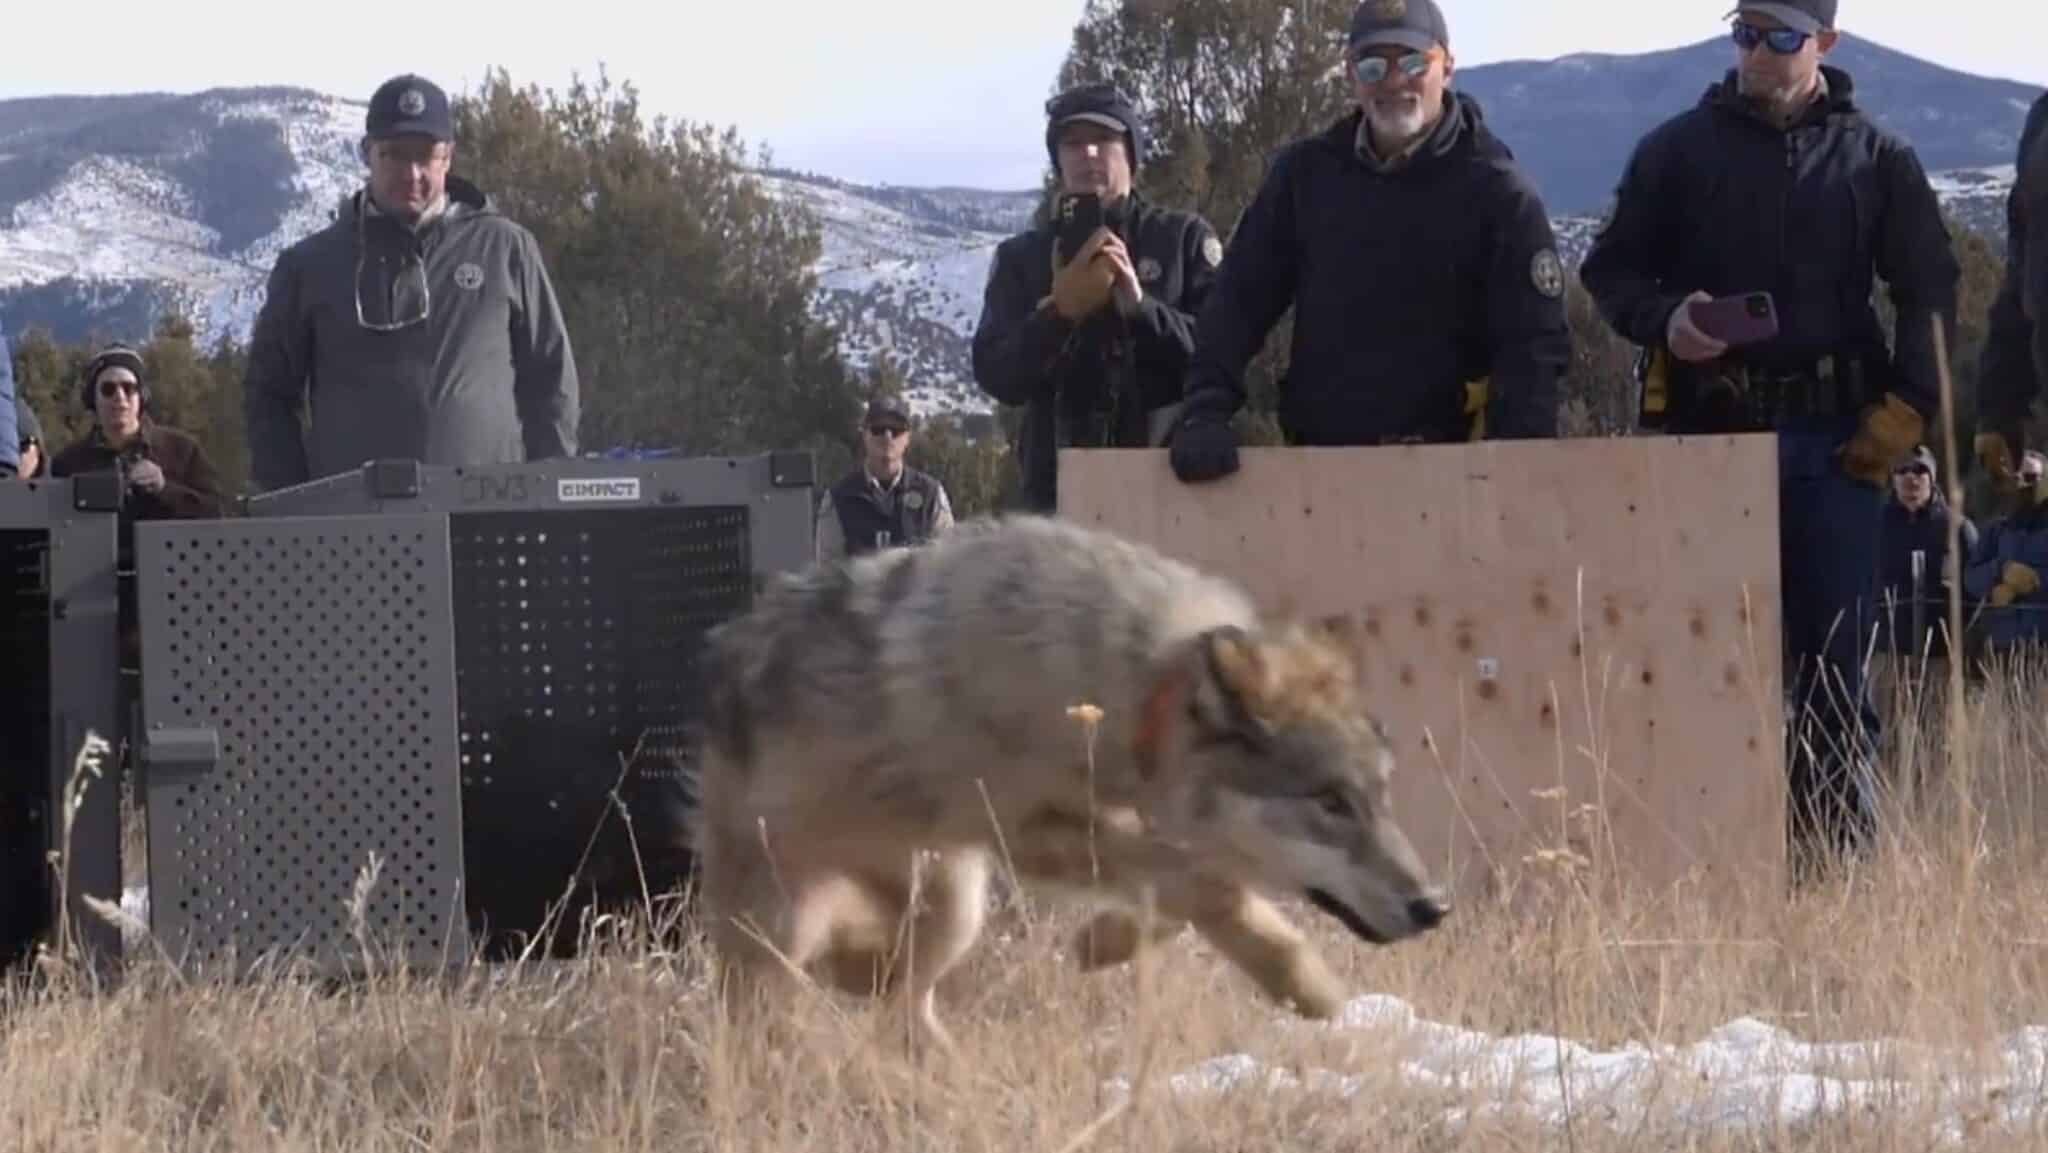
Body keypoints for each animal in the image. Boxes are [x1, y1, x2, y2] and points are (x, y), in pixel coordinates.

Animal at [688, 514, 1450, 1053]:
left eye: (1381, 797)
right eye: (1331, 802)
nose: (1433, 907)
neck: (1132, 684)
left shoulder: (1109, 825)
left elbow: (1192, 884)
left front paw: (1103, 942)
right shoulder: (1031, 834)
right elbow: (1204, 881)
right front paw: (1304, 984)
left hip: (954, 903)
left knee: (901, 999)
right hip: (786, 935)